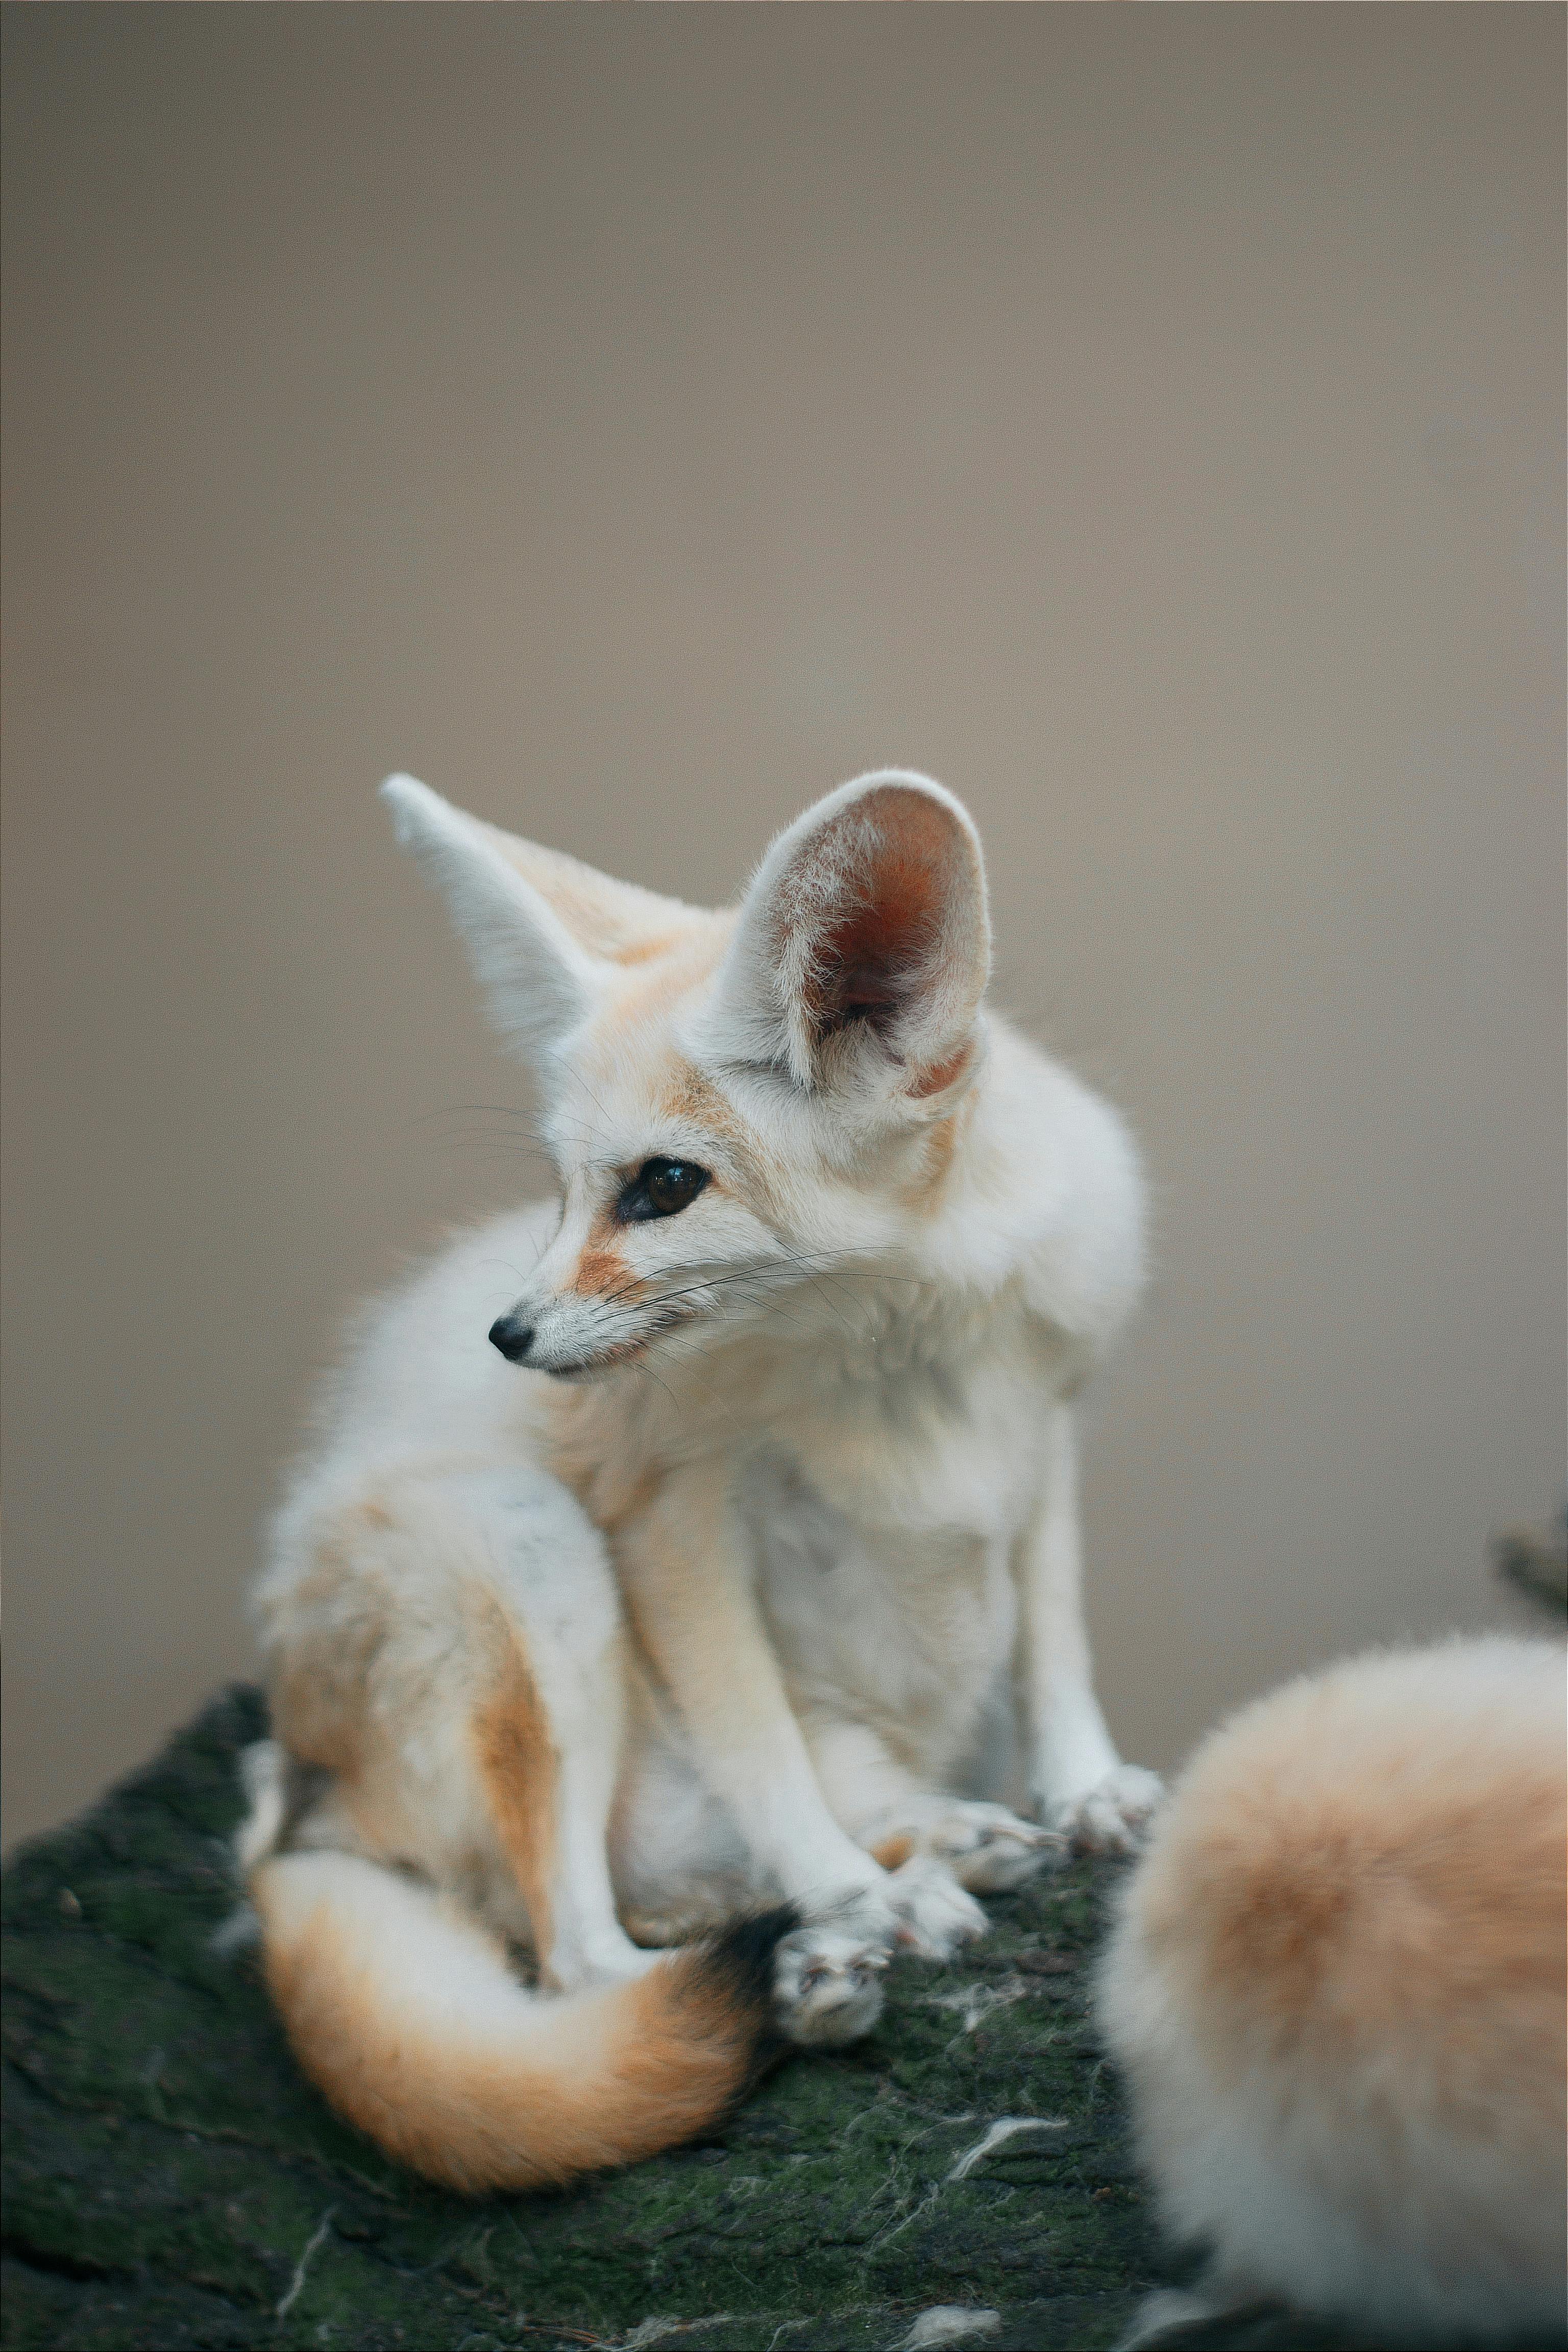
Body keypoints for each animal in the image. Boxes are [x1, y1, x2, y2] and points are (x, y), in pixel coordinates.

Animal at [240, 766, 1160, 2192]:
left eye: (662, 1186)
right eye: (561, 1190)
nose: (508, 1336)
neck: (897, 1368)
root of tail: (294, 1815)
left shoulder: (1044, 1433)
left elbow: (1054, 1647)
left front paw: (1079, 1786)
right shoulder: (669, 1517)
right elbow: (762, 1756)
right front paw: (847, 1893)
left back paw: (930, 1856)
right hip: (526, 1546)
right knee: (577, 1959)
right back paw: (825, 1944)